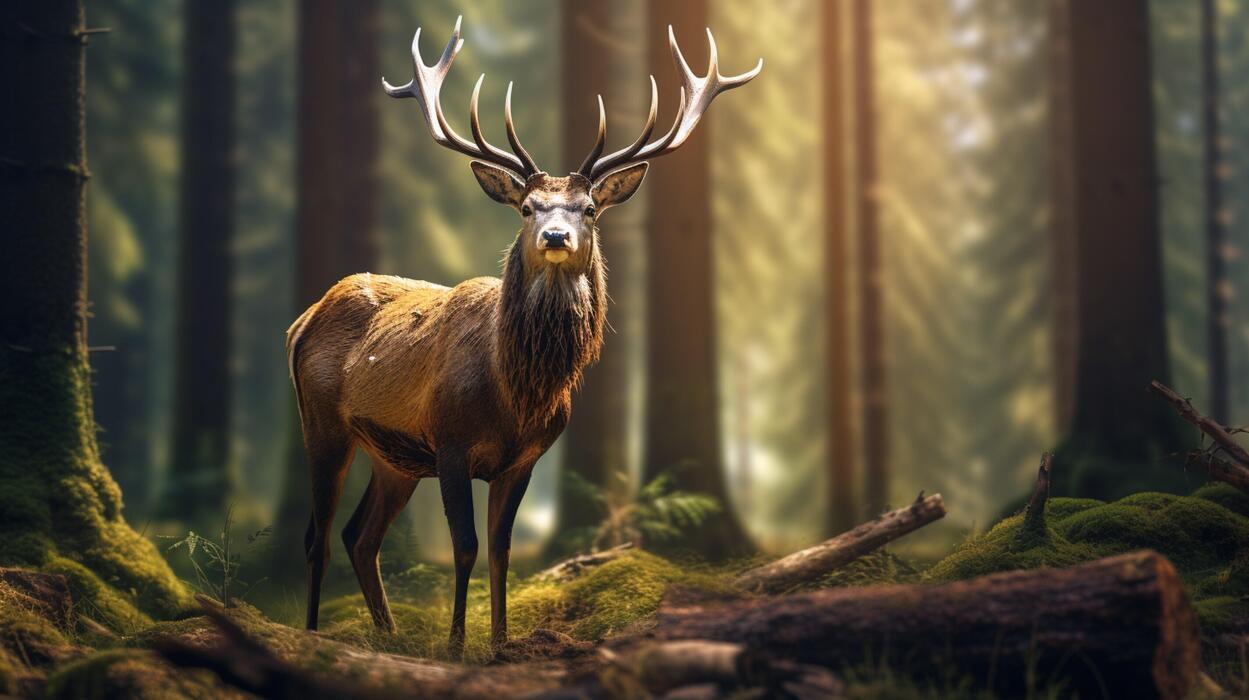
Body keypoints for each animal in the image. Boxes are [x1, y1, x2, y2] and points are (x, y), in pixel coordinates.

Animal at [287, 15, 761, 657]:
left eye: (589, 208)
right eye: (528, 207)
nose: (556, 236)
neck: (515, 392)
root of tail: (301, 319)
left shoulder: (526, 458)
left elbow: (503, 551)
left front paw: (501, 643)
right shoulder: (451, 442)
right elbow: (464, 547)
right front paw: (458, 645)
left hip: (395, 458)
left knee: (361, 536)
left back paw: (387, 636)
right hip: (322, 422)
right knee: (317, 536)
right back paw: (313, 634)